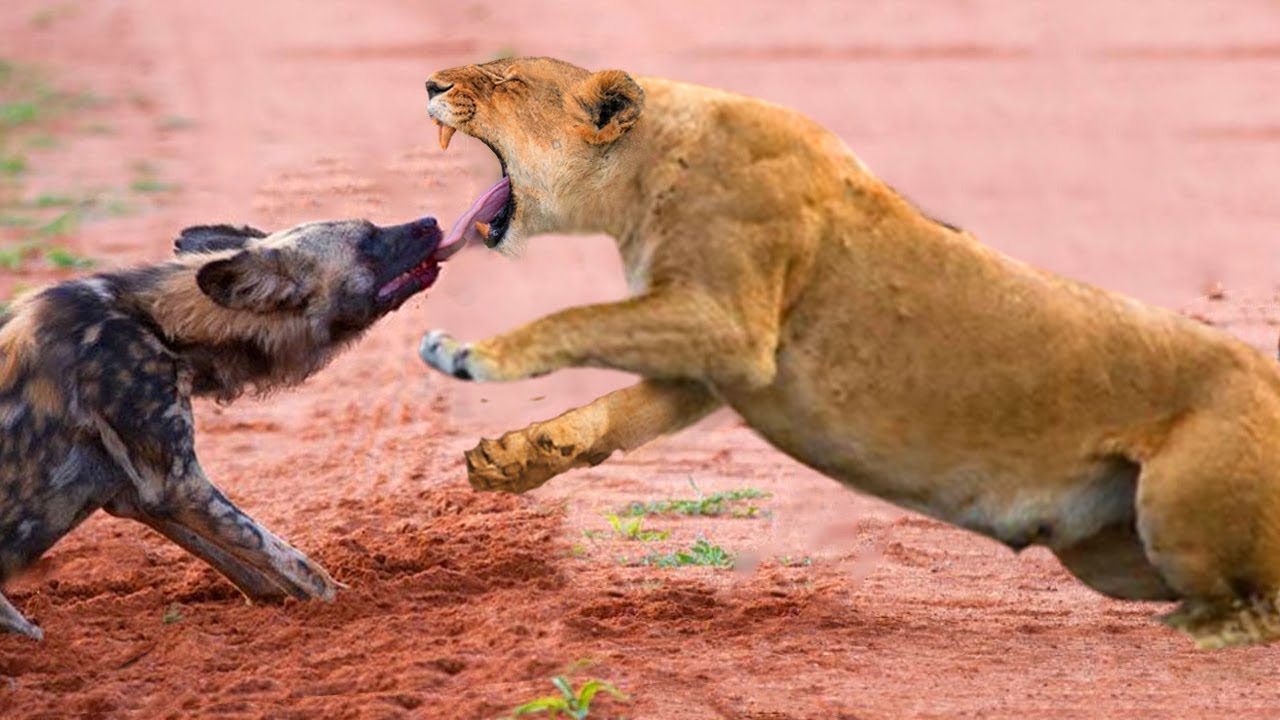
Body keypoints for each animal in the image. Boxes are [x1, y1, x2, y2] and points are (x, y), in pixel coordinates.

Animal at [418, 56, 1280, 648]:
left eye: (504, 79)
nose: (429, 82)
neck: (644, 168)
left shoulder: (731, 326)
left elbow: (577, 316)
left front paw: (470, 354)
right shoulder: (715, 358)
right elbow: (616, 412)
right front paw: (516, 458)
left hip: (1177, 501)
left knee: (1257, 607)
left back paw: (1186, 637)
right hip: (1109, 555)